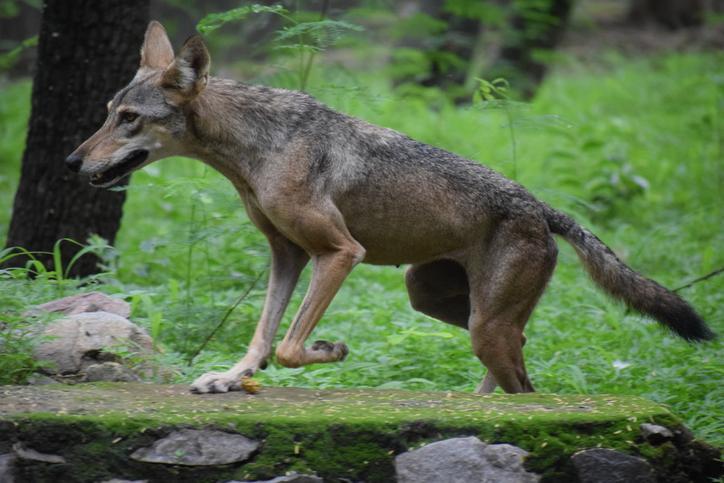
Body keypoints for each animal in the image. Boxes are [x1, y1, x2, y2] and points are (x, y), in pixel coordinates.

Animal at [66, 21, 714, 394]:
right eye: (108, 112)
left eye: (130, 119)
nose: (72, 161)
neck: (255, 150)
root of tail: (540, 207)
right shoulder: (286, 257)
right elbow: (261, 336)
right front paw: (231, 379)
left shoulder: (338, 253)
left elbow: (290, 346)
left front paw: (331, 350)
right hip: (437, 300)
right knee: (523, 359)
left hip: (483, 324)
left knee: (526, 386)